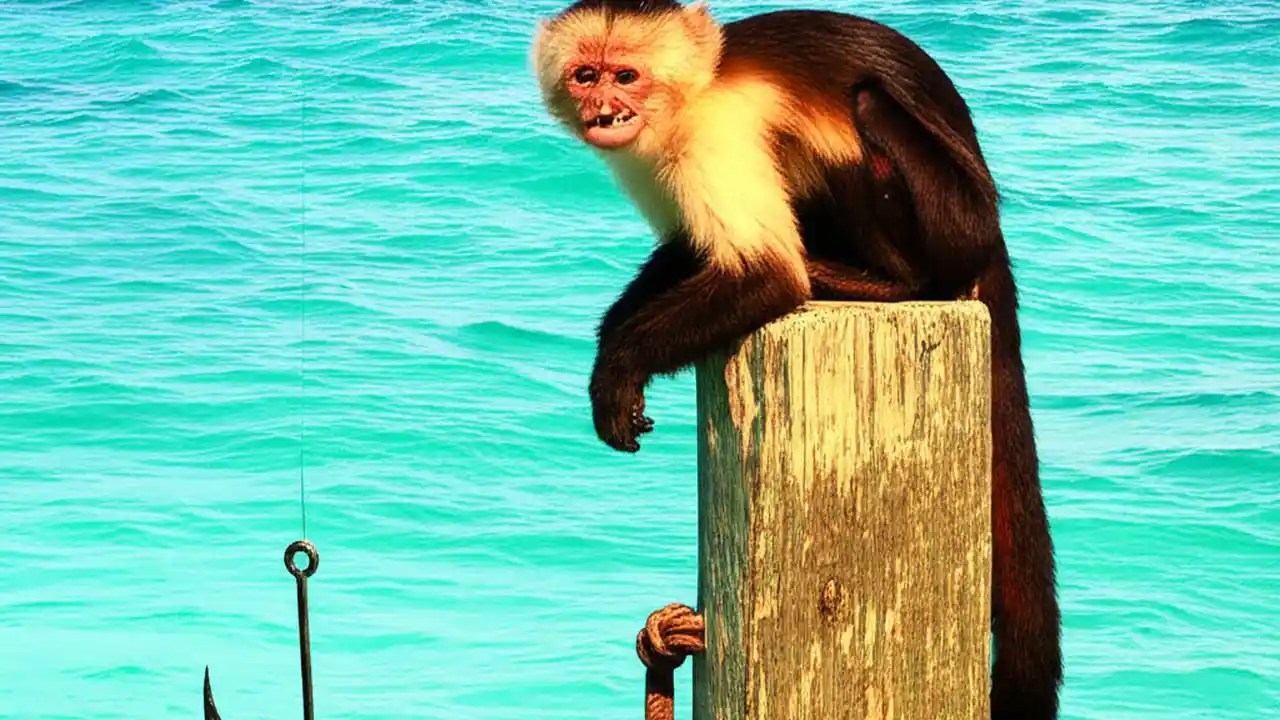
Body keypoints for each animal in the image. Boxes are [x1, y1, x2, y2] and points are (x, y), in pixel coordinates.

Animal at [532, 1, 1061, 718]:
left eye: (626, 75)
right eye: (586, 75)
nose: (603, 107)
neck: (690, 96)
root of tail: (991, 237)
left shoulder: (716, 139)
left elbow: (766, 278)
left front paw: (617, 370)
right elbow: (692, 251)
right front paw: (608, 349)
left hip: (953, 222)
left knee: (867, 110)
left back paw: (885, 283)